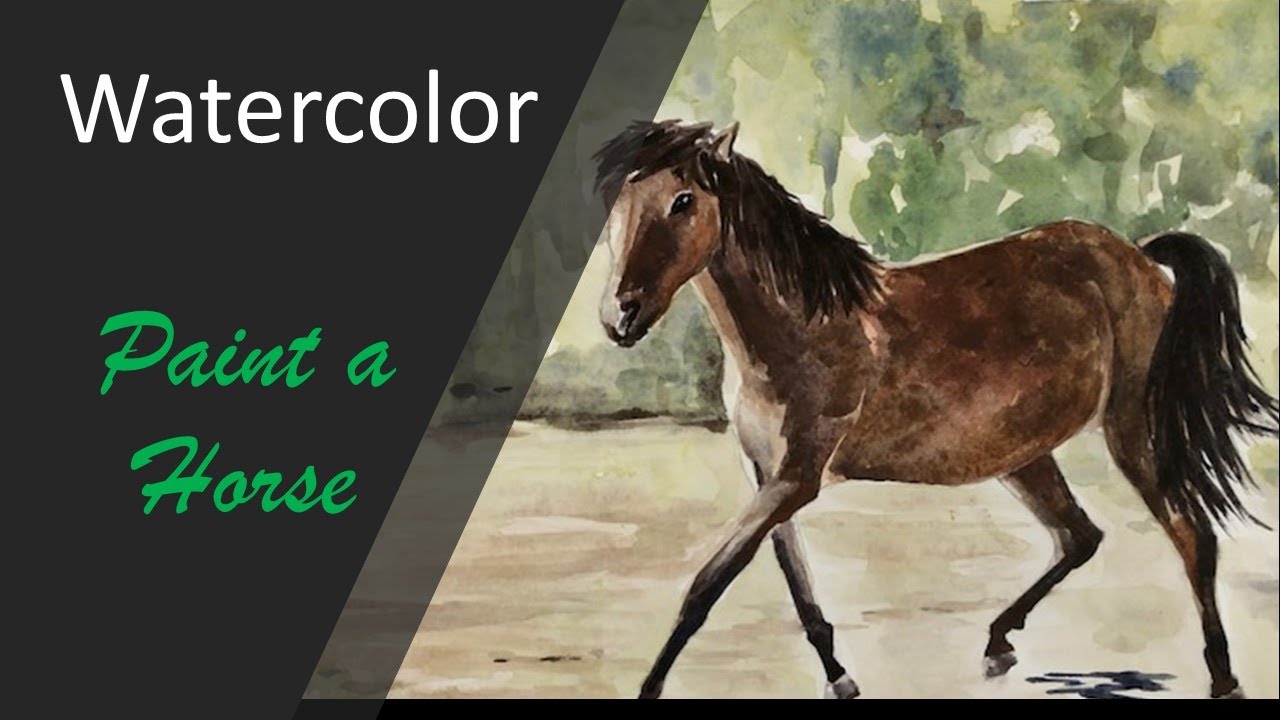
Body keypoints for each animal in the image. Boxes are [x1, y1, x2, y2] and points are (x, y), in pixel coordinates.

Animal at [592, 119, 1279, 699]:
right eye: (621, 203)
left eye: (684, 201)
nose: (619, 316)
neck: (805, 327)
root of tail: (1138, 259)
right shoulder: (769, 477)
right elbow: (798, 587)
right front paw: (841, 678)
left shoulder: (797, 478)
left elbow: (706, 585)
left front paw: (649, 688)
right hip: (1024, 454)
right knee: (1079, 537)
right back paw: (998, 642)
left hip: (1134, 429)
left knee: (1191, 536)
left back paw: (1222, 676)